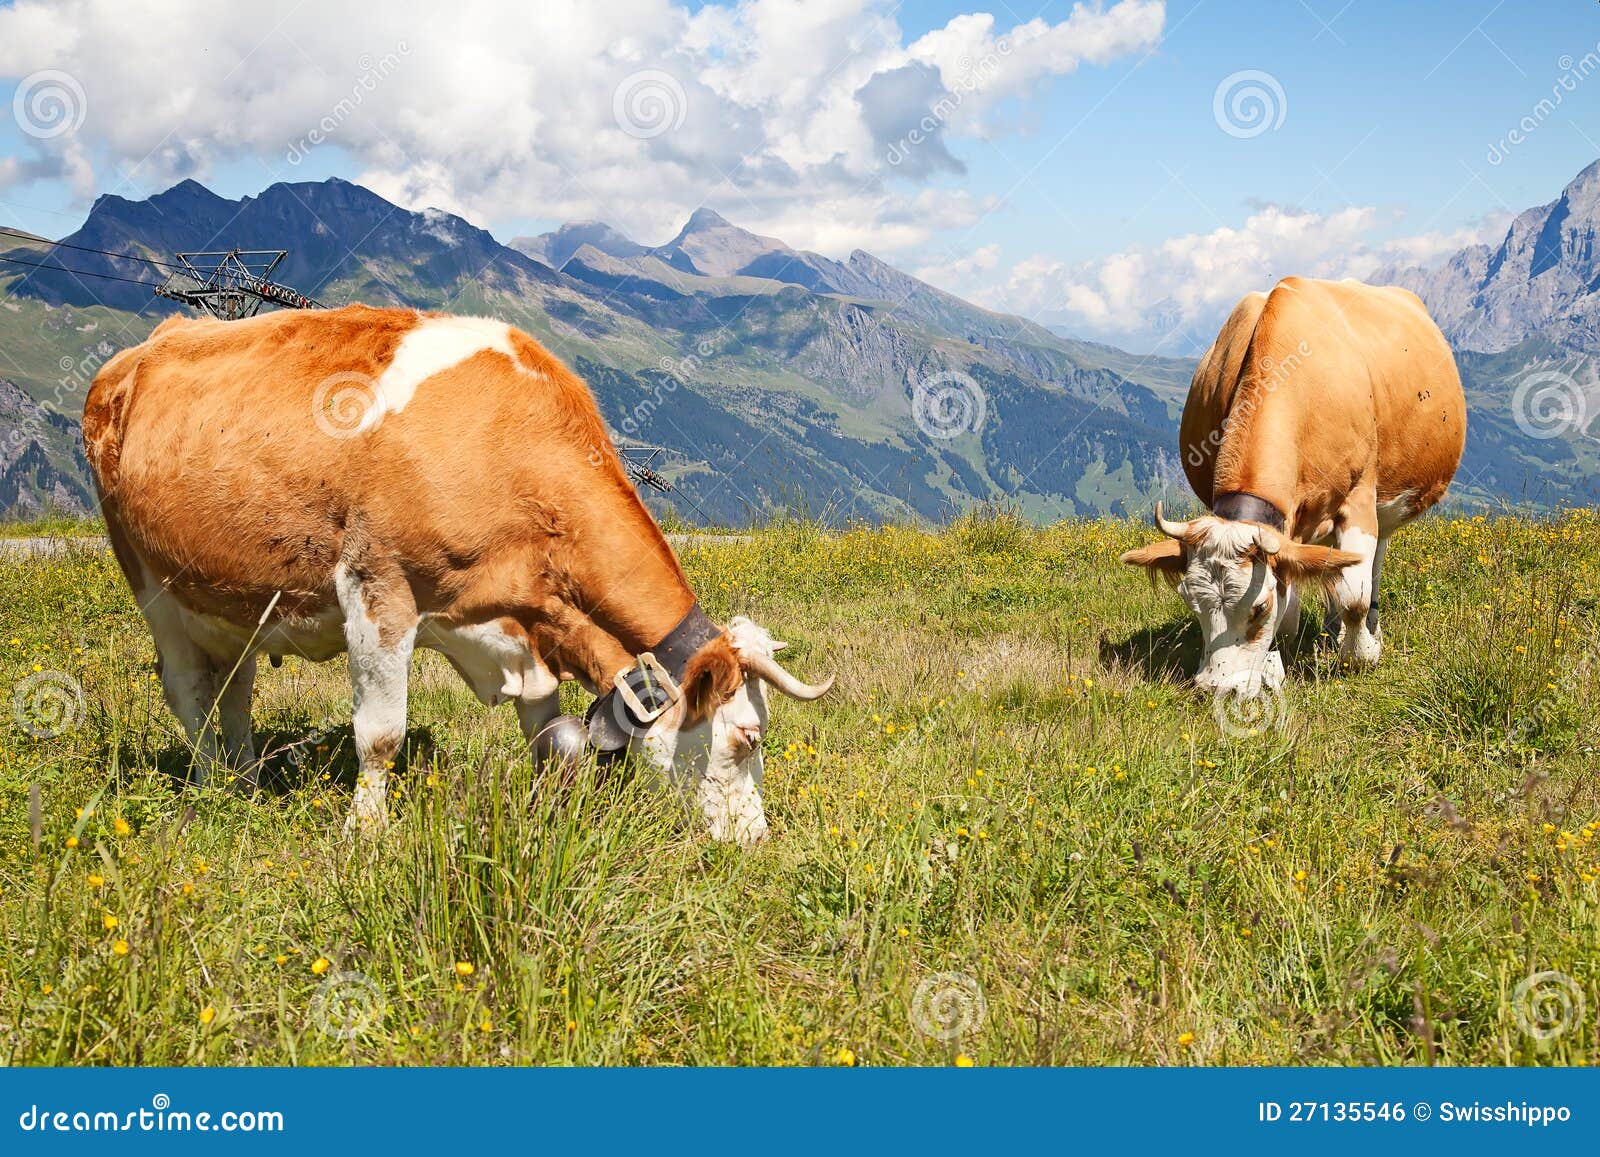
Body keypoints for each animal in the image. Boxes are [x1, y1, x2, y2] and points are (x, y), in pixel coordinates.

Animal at [81, 305, 833, 845]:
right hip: (151, 583)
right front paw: (366, 832)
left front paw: (545, 815)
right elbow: (380, 733)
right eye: (747, 737)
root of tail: (146, 346)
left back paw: (245, 781)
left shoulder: (526, 620)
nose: (755, 841)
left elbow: (546, 734)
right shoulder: (376, 587)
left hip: (237, 600)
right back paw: (216, 788)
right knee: (189, 694)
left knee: (232, 694)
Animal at [1121, 277, 1466, 696]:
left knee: (1371, 567)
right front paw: (1274, 664)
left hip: (1385, 507)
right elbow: (1293, 605)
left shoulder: (1358, 500)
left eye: (1258, 608)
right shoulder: (1284, 529)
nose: (1217, 688)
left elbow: (1354, 597)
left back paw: (1365, 630)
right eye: (1189, 602)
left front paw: (1362, 655)